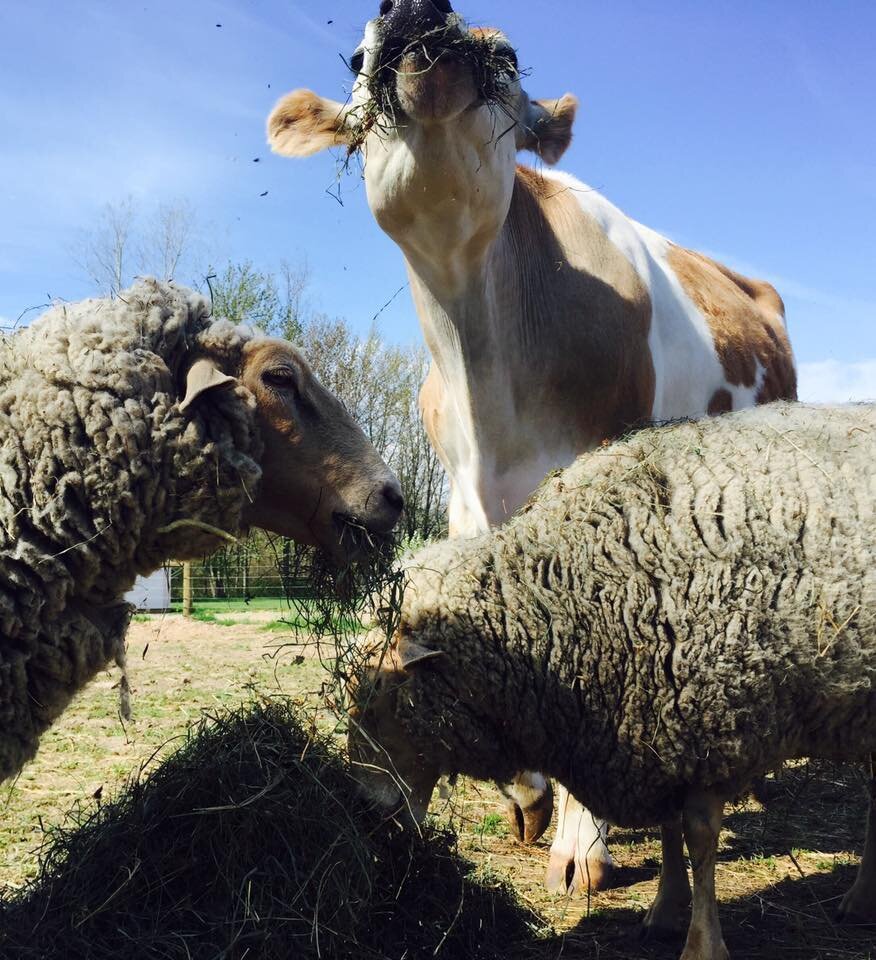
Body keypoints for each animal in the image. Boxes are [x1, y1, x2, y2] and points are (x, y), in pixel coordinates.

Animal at [266, 0, 797, 912]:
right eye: (357, 54)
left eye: (508, 56)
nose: (424, 18)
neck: (493, 380)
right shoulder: (462, 495)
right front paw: (528, 794)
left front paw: (583, 843)